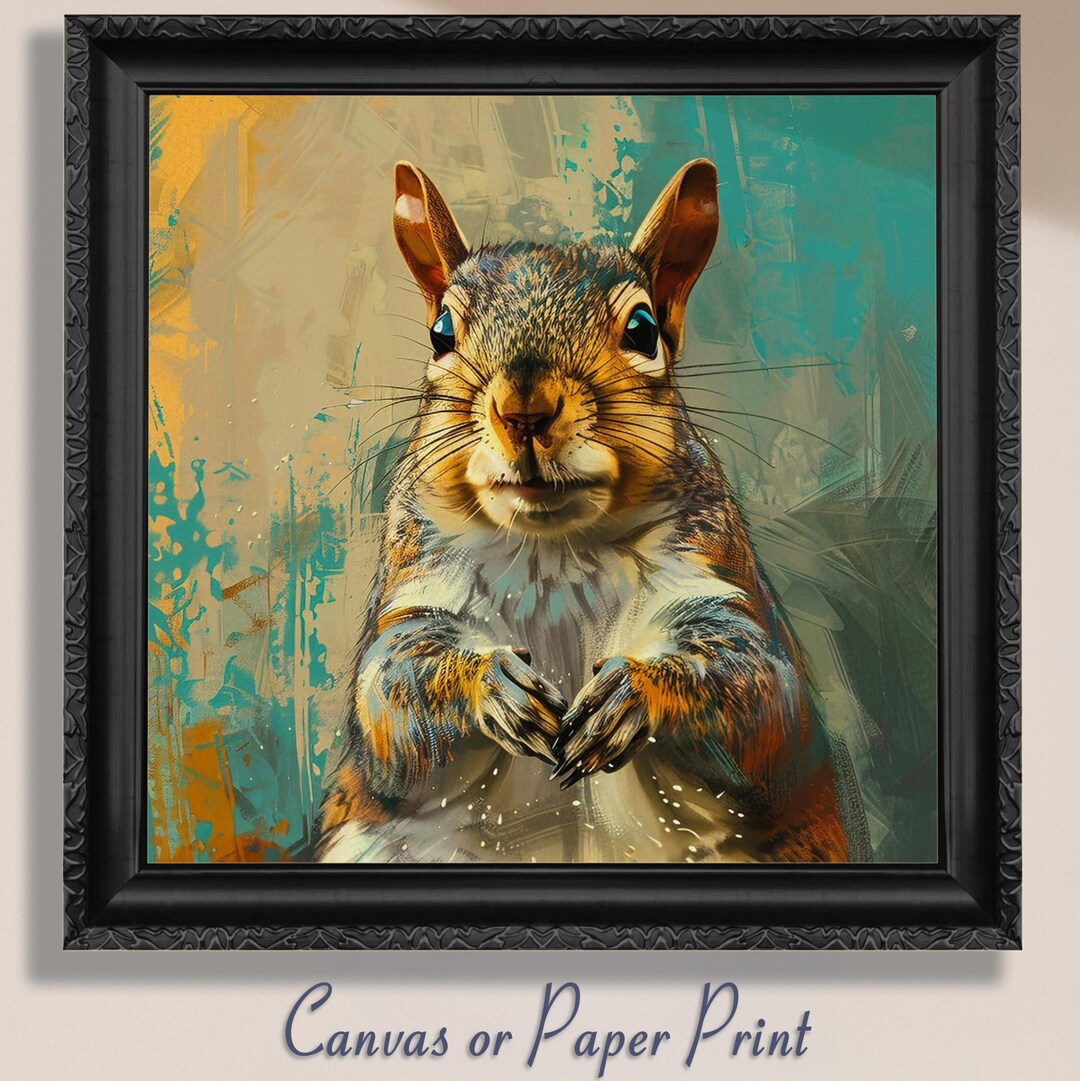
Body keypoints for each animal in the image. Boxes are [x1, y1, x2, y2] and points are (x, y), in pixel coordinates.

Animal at [316, 158, 871, 864]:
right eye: (440, 334)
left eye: (643, 330)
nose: (524, 410)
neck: (553, 551)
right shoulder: (411, 592)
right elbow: (389, 695)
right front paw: (494, 682)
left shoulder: (721, 586)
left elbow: (758, 691)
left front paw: (632, 692)